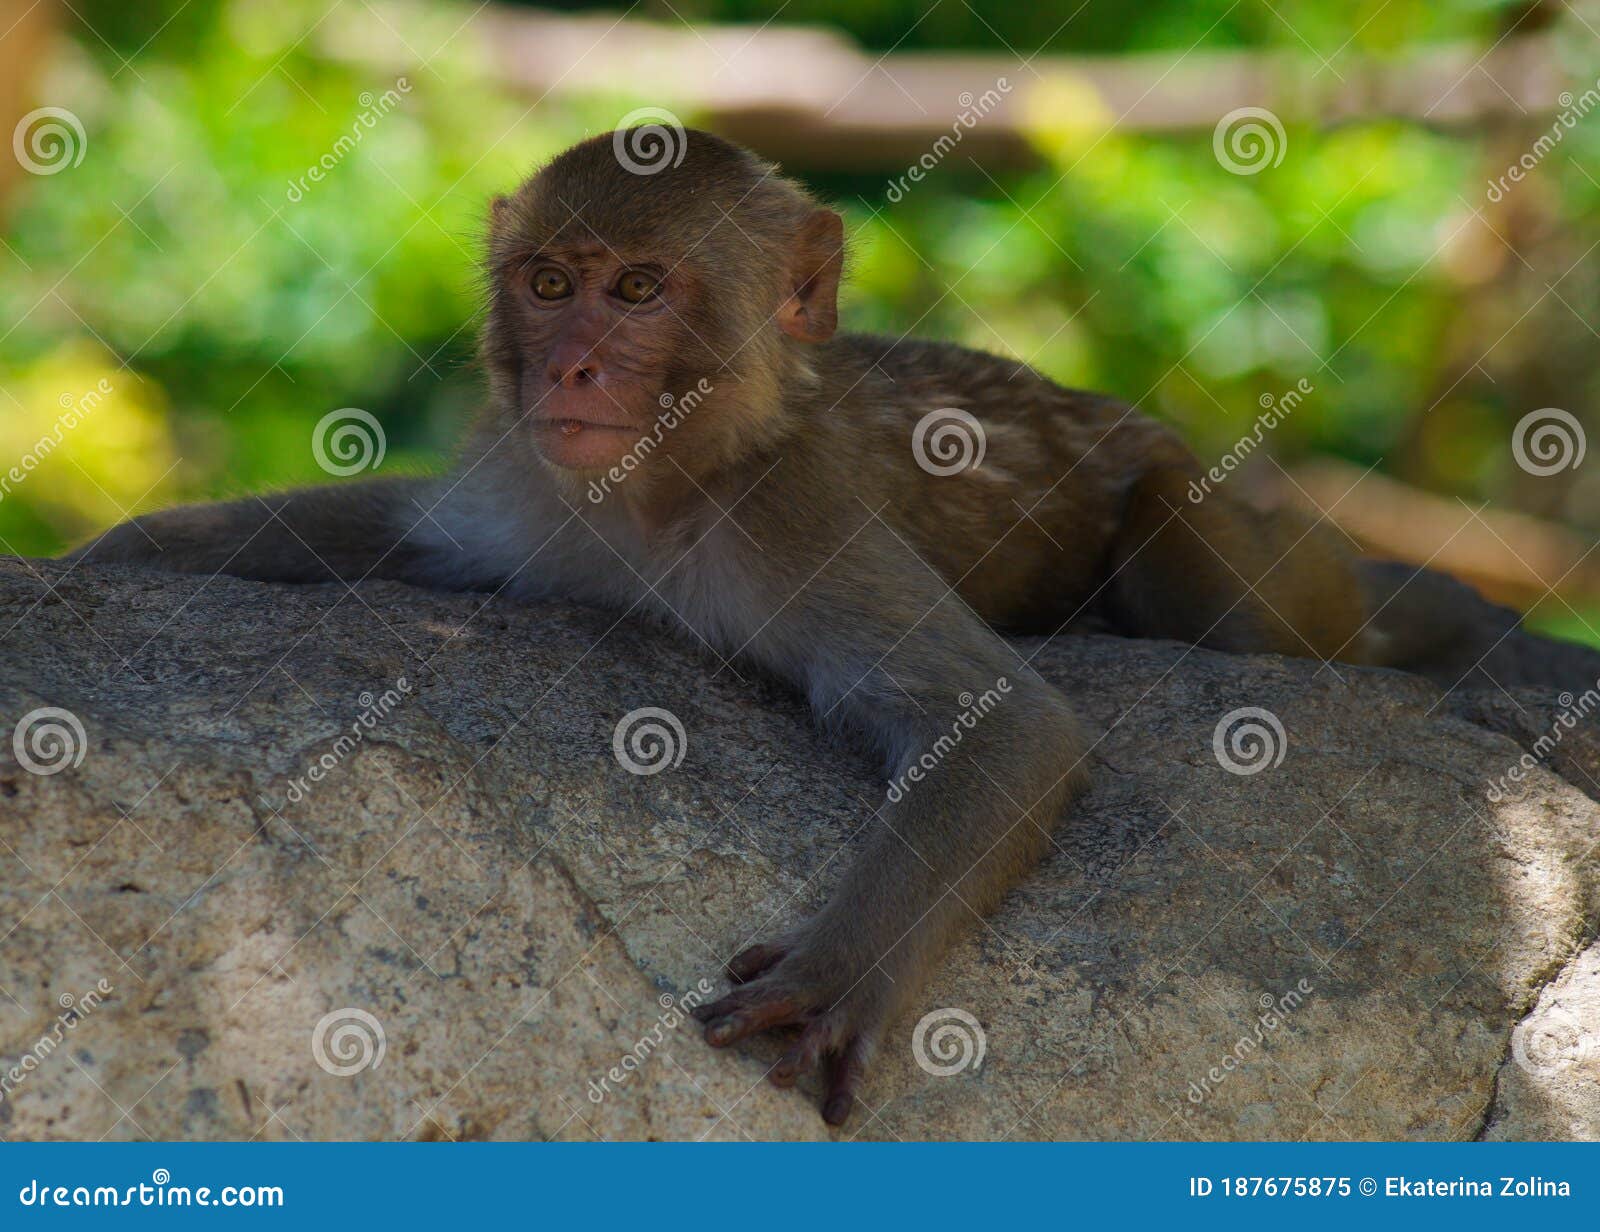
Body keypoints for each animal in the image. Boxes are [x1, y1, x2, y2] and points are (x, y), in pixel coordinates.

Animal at [67, 127, 1467, 1126]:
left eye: (637, 288)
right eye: (548, 283)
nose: (570, 365)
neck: (658, 488)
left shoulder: (796, 512)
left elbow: (1002, 721)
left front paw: (837, 975)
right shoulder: (526, 481)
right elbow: (398, 539)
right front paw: (109, 555)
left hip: (1237, 535)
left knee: (1192, 539)